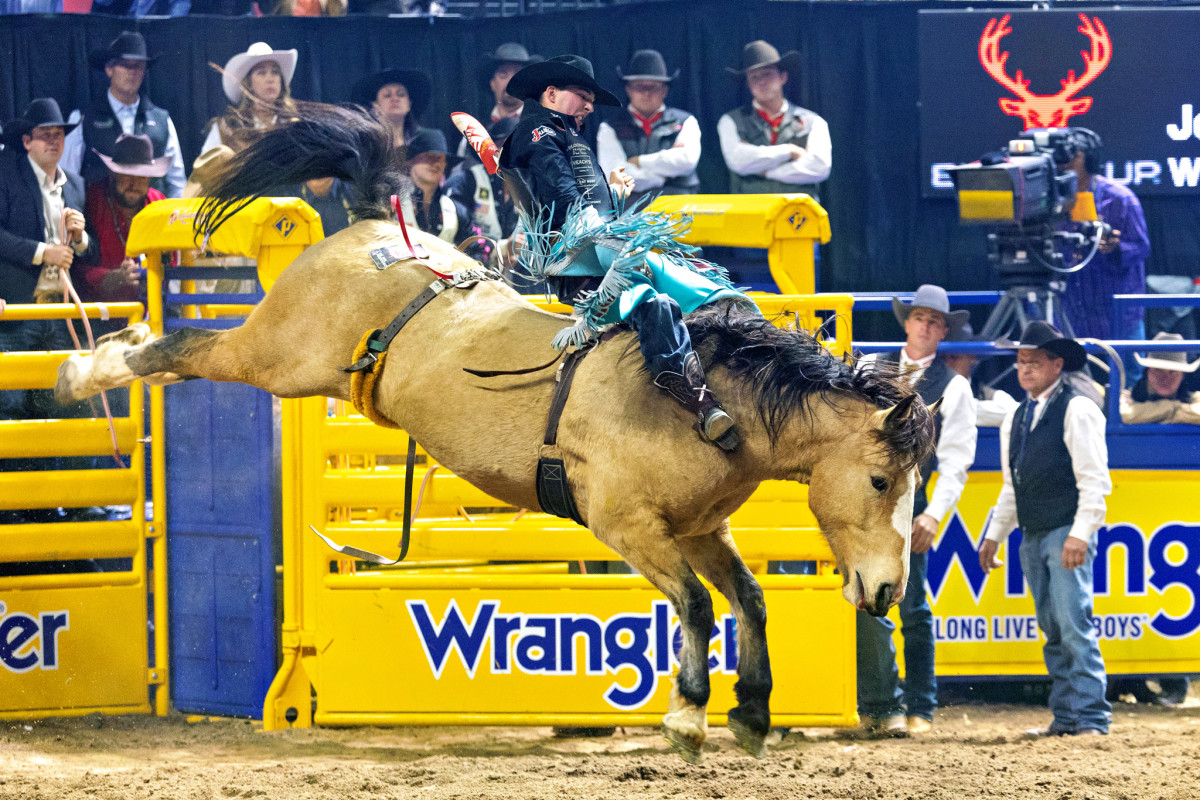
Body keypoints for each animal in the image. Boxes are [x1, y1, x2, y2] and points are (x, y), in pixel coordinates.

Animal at [55, 105, 935, 763]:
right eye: (881, 480)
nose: (888, 591)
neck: (710, 397)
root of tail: (375, 223)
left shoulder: (698, 527)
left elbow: (747, 599)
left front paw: (751, 715)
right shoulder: (625, 523)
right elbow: (692, 604)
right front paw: (688, 718)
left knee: (182, 359)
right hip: (277, 356)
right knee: (181, 346)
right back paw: (87, 369)